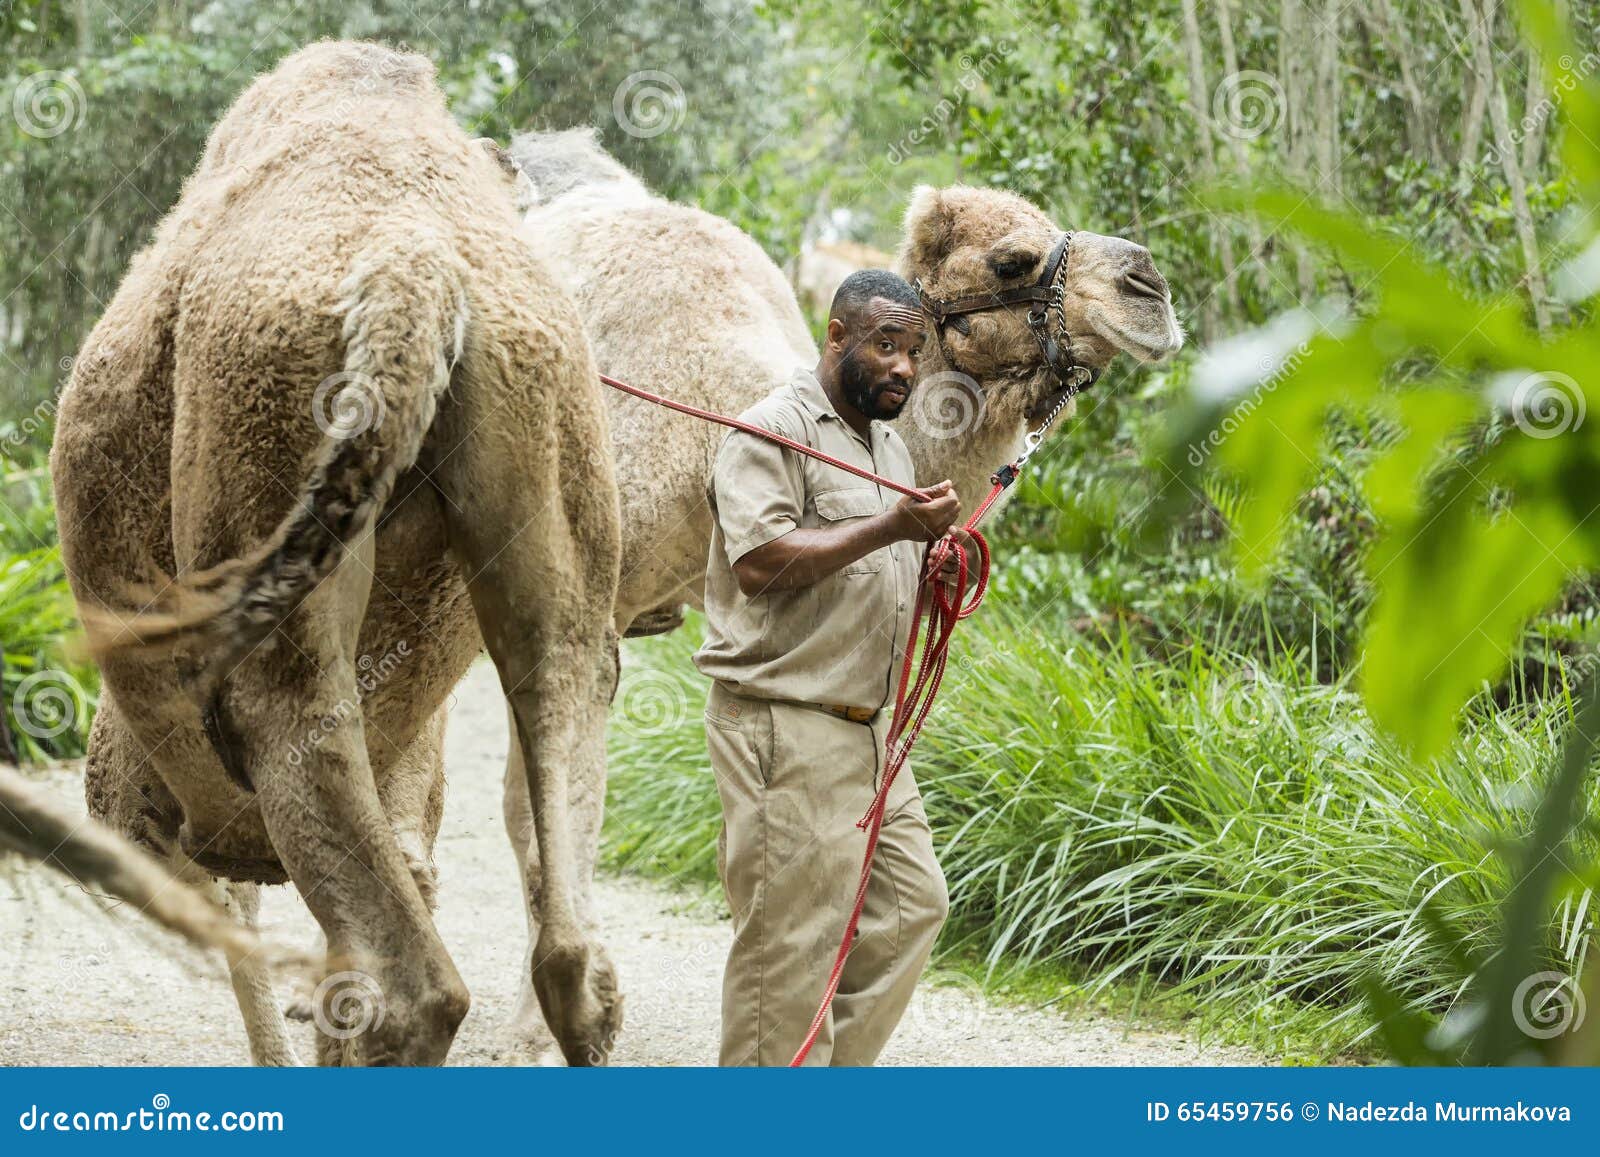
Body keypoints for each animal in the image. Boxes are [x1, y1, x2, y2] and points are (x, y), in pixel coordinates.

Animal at [50, 43, 622, 1066]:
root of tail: (416, 274)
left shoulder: (156, 809)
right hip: (551, 432)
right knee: (568, 930)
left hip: (267, 496)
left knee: (398, 969)